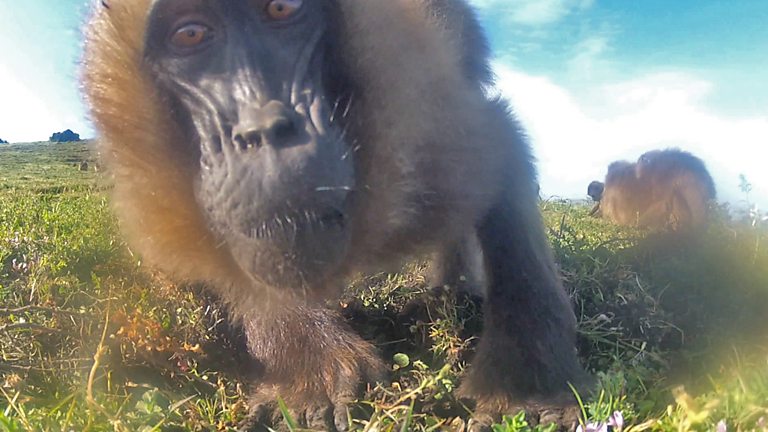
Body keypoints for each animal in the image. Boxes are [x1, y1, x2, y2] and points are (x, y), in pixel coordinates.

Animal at [82, 1, 588, 430]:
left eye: (281, 9)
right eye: (190, 35)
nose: (265, 130)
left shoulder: (427, 135)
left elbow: (504, 149)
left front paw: (526, 384)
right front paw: (308, 371)